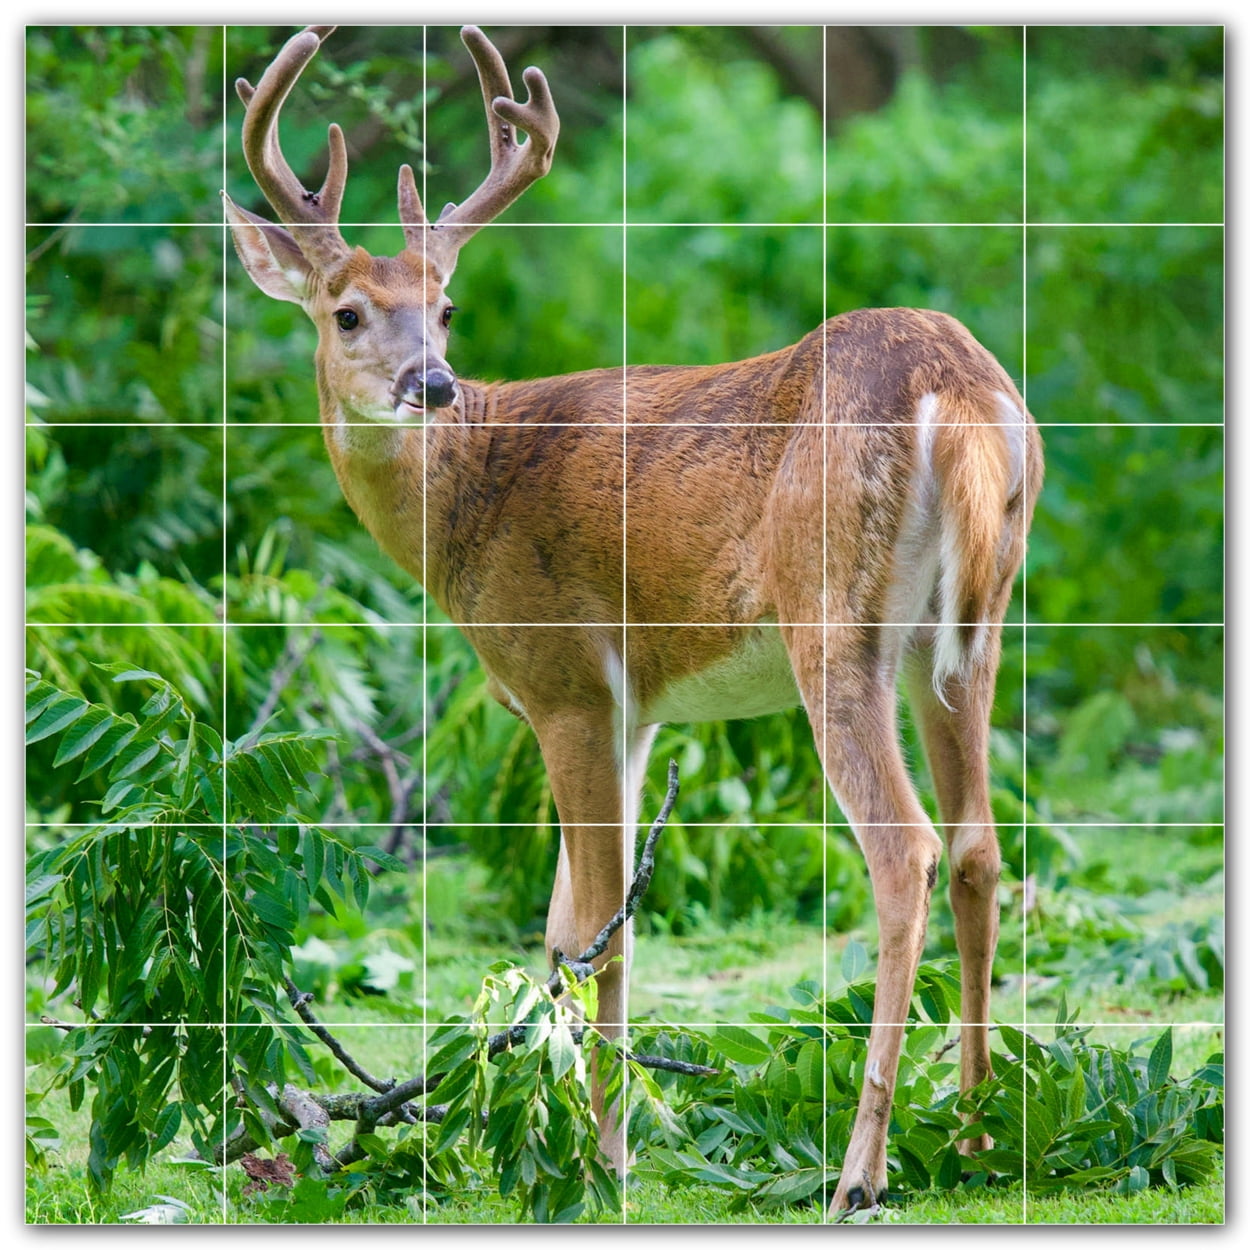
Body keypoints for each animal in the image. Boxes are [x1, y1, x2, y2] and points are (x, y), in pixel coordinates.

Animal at [224, 24, 1042, 1216]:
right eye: (349, 310)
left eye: (447, 306)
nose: (434, 383)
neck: (469, 501)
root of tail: (962, 389)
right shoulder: (637, 709)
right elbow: (572, 926)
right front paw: (573, 1139)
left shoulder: (566, 681)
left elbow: (600, 928)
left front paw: (604, 1158)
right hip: (971, 623)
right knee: (980, 844)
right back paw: (977, 1131)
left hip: (831, 619)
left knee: (907, 851)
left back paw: (859, 1170)